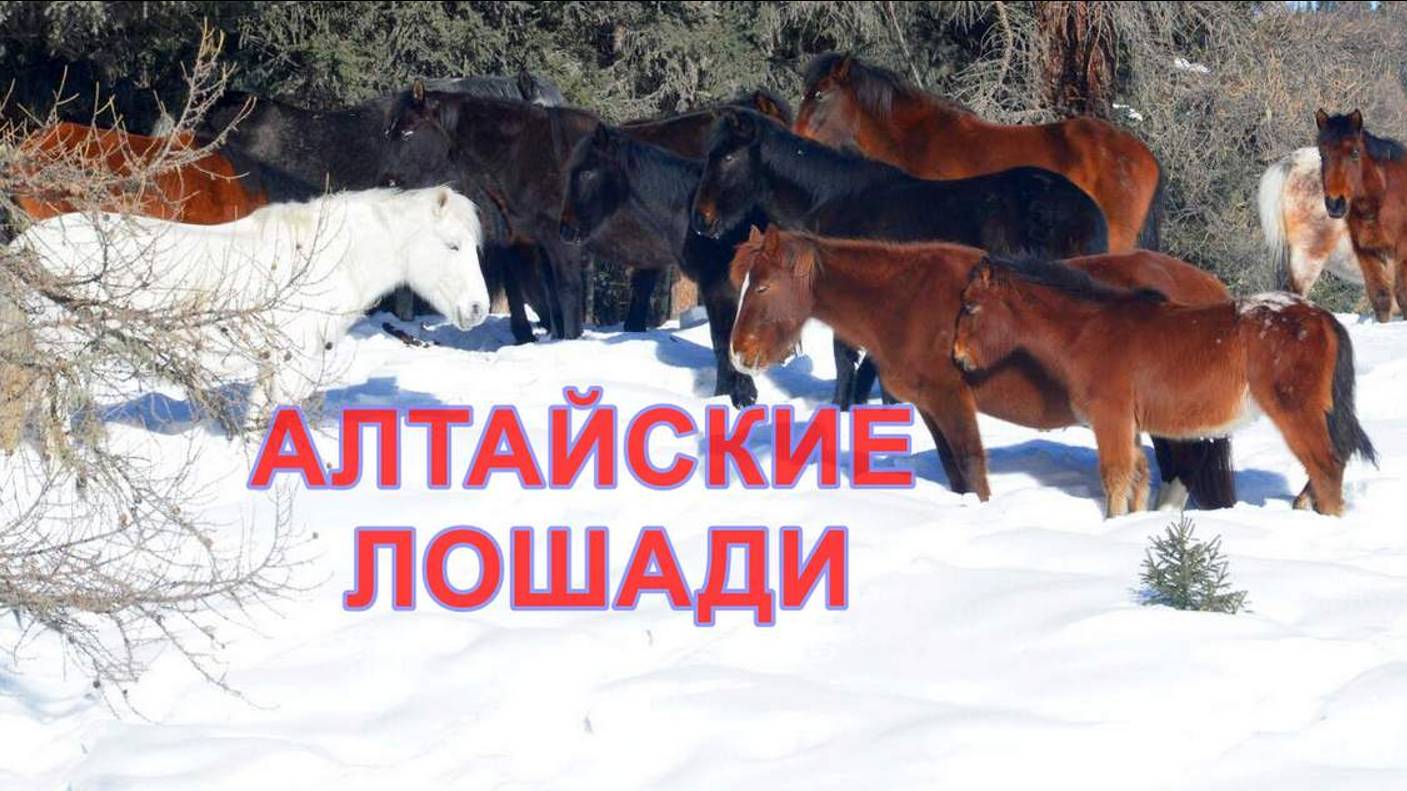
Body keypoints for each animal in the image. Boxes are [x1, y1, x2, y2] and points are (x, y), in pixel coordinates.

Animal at [9, 186, 488, 420]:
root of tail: (22, 246)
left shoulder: (270, 365)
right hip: (60, 355)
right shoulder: (293, 365)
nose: (480, 309)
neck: (320, 261)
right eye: (453, 246)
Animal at [727, 226, 1238, 511]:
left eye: (763, 287)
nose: (738, 355)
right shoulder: (929, 405)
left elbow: (972, 464)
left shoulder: (952, 397)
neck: (906, 300)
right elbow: (953, 469)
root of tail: (1212, 291)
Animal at [953, 256, 1376, 517]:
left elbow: (1115, 475)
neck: (1087, 330)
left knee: (1326, 466)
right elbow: (1138, 477)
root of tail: (1321, 318)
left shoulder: (1110, 418)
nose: (957, 357)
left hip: (1296, 411)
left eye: (970, 307)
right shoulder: (1130, 424)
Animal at [1315, 109, 1407, 323]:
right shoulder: (1366, 251)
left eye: (1355, 152)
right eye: (1322, 154)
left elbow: (1402, 295)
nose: (1335, 203)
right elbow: (1380, 297)